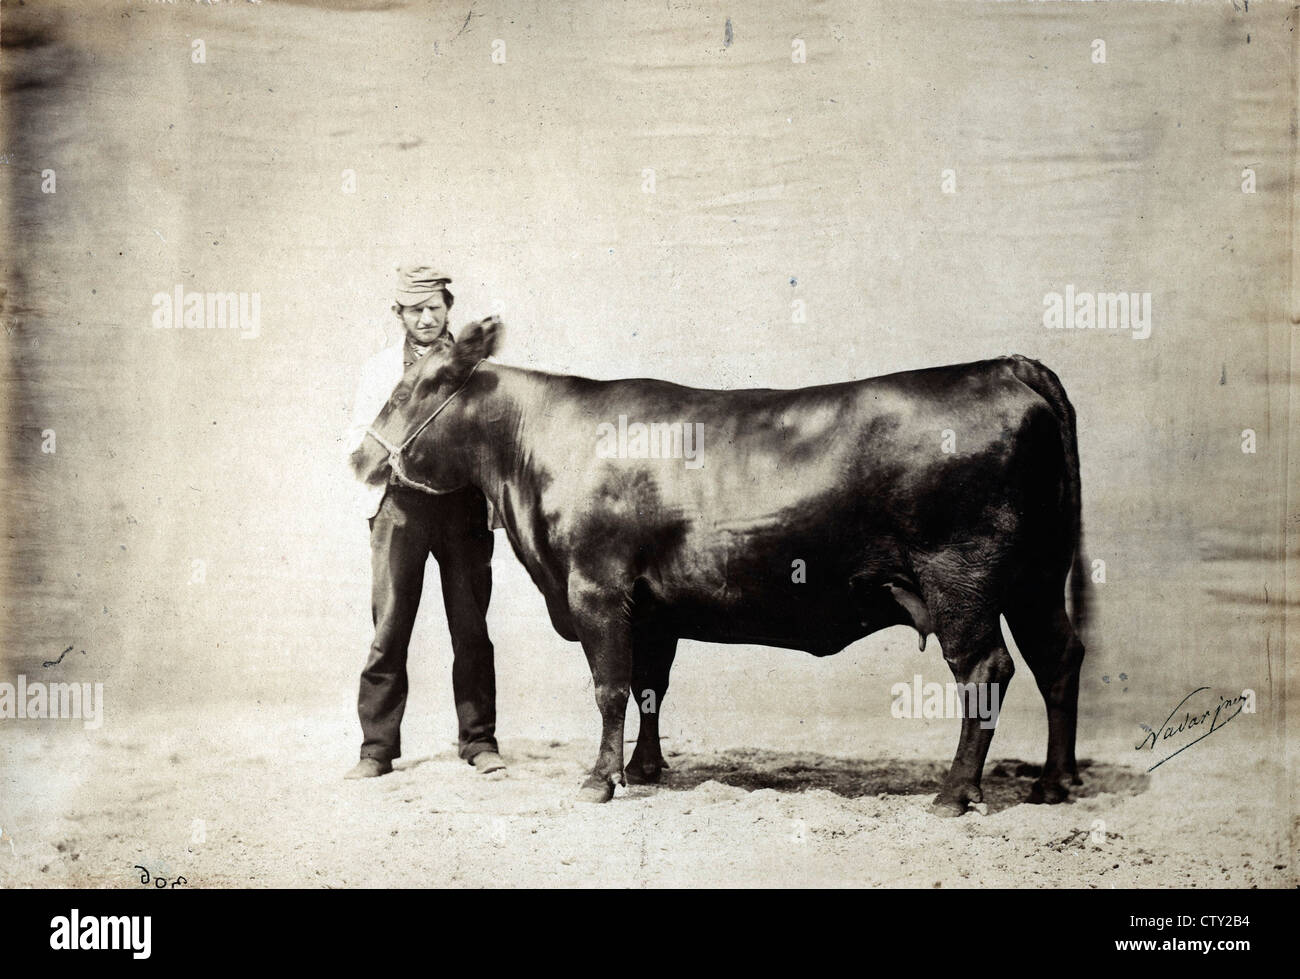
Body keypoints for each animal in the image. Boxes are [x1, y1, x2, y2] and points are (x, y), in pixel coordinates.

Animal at [351, 316, 1088, 815]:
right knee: (1058, 655)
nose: (360, 458)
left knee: (985, 669)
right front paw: (646, 768)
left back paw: (955, 792)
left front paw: (600, 779)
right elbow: (649, 686)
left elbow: (610, 686)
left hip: (961, 577)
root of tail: (1003, 365)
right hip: (1037, 576)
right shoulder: (651, 607)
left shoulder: (596, 586)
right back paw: (1053, 783)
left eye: (416, 388)